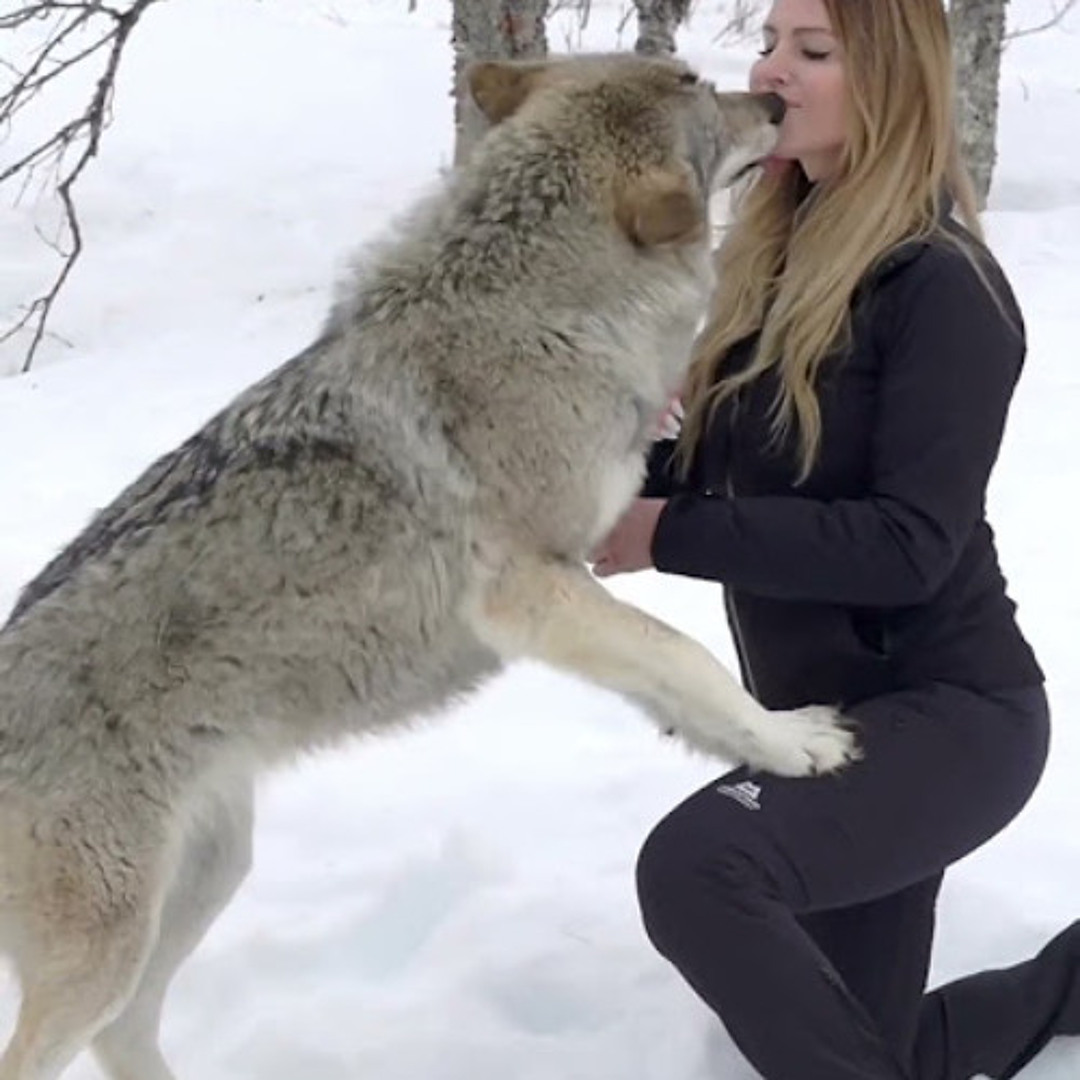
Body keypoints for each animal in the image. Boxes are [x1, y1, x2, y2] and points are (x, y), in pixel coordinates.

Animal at [0, 54, 856, 1079]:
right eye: (701, 86)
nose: (770, 100)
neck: (540, 314)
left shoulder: (576, 585)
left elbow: (673, 680)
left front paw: (750, 748)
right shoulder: (533, 589)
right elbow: (686, 653)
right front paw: (797, 744)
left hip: (205, 878)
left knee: (127, 1031)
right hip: (106, 947)